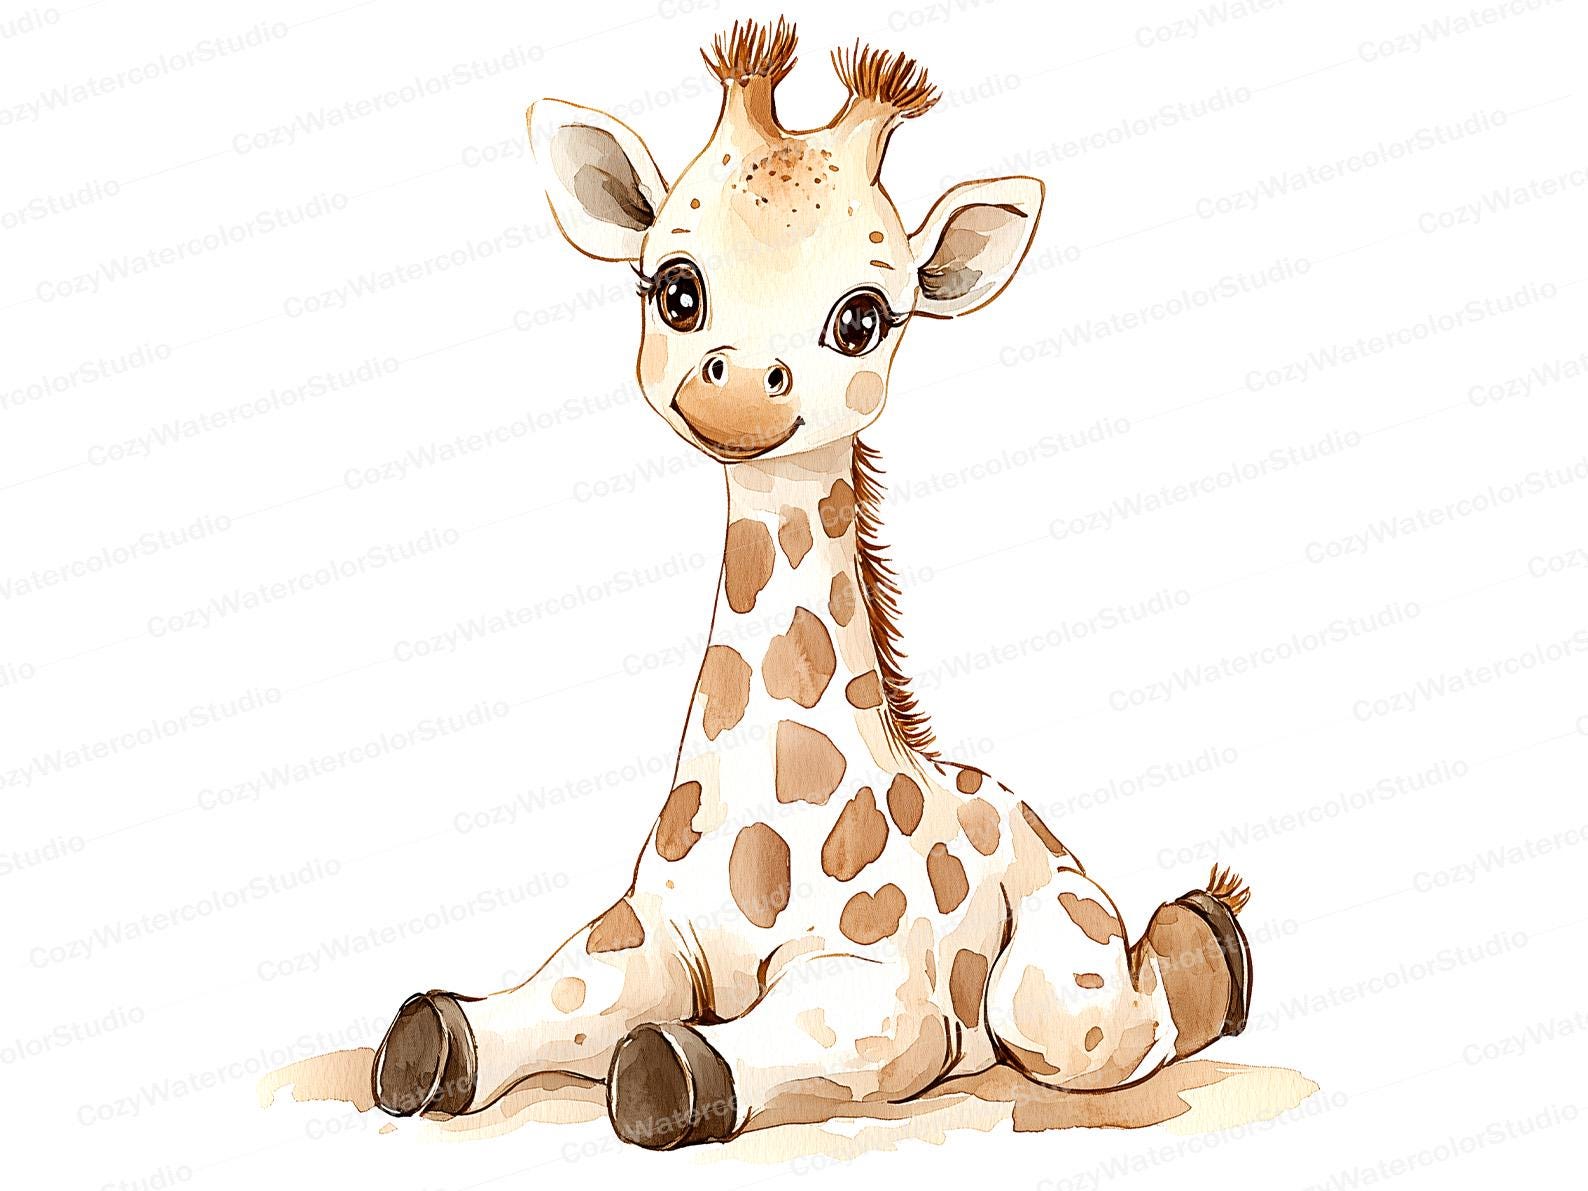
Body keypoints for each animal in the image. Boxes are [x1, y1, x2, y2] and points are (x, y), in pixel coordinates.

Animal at [369, 18, 1255, 1149]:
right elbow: (525, 1008)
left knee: (1100, 1019)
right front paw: (429, 1044)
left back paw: (1216, 917)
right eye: (676, 288)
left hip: (1052, 978)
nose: (741, 386)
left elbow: (676, 1066)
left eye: (863, 317)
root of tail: (1030, 814)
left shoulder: (892, 996)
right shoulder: (644, 931)